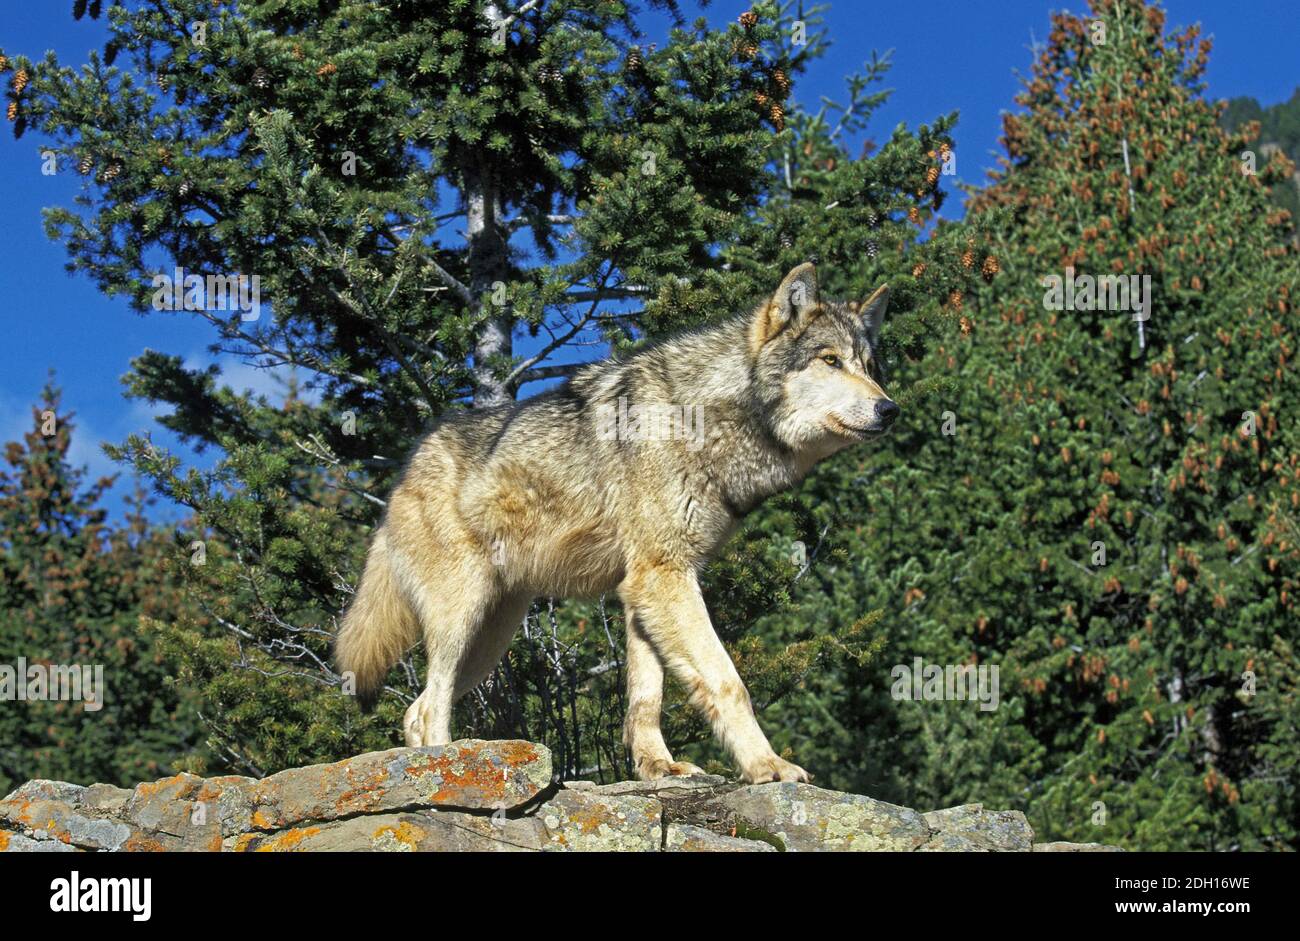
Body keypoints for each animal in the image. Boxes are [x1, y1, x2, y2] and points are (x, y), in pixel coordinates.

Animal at [334, 262, 898, 783]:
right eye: (830, 360)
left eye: (870, 366)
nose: (890, 409)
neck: (704, 415)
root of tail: (405, 471)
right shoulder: (665, 577)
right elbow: (728, 681)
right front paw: (768, 766)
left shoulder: (644, 587)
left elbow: (646, 698)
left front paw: (658, 768)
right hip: (462, 617)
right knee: (430, 708)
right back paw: (451, 771)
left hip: (491, 637)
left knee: (416, 708)